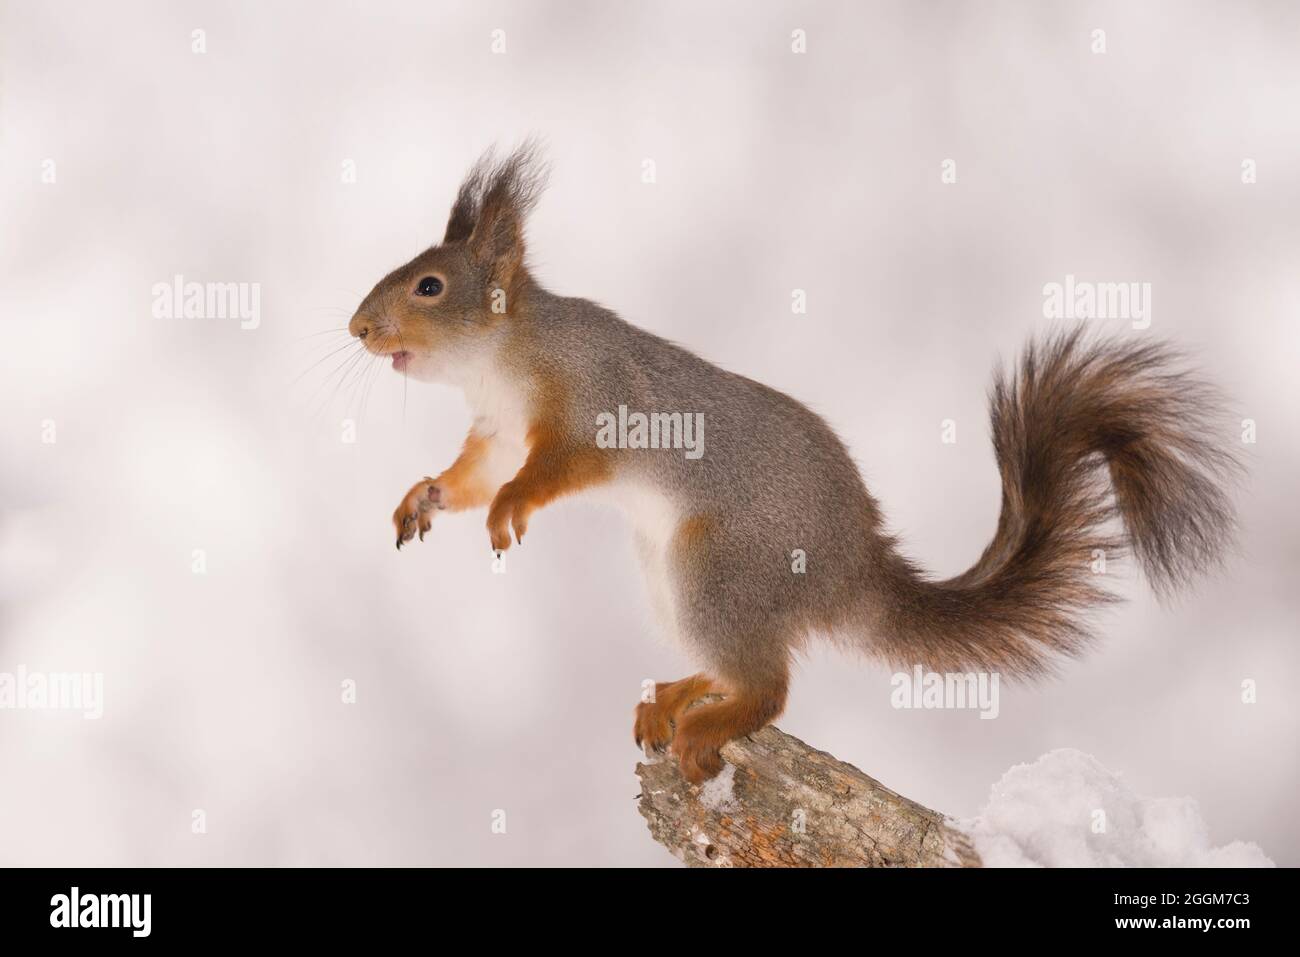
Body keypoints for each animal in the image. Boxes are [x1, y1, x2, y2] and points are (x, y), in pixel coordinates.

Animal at [347, 143, 1240, 784]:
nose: (356, 328)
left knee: (769, 688)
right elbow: (472, 475)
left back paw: (707, 716)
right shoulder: (497, 434)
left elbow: (549, 472)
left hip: (721, 564)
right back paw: (680, 693)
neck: (501, 360)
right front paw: (423, 496)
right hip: (672, 577)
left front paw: (509, 511)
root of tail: (854, 569)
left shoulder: (592, 404)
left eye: (429, 285)